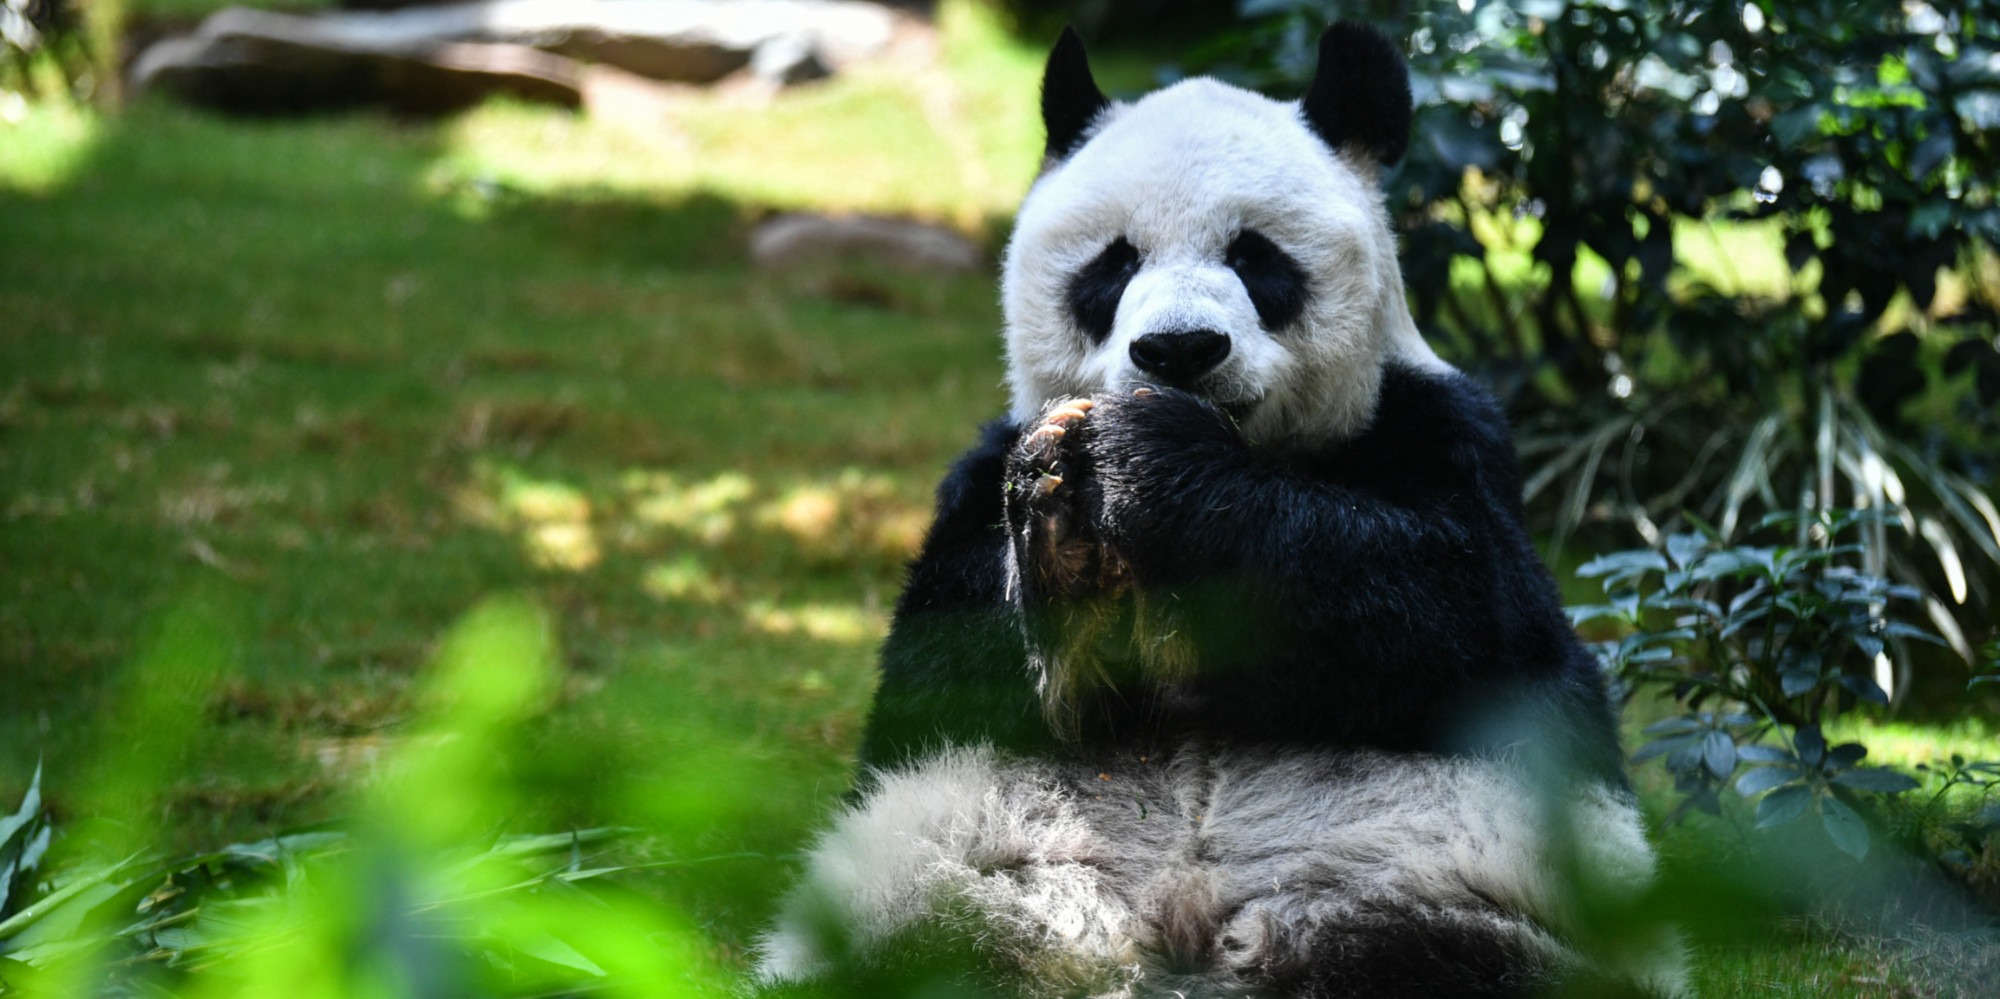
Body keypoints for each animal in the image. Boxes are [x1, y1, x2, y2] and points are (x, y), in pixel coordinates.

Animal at [755, 23, 1689, 999]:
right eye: (1114, 263)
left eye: (1256, 257)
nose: (1179, 350)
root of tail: (1179, 940)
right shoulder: (975, 483)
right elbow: (949, 655)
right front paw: (1062, 534)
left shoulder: (1446, 434)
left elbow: (1456, 603)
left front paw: (1152, 463)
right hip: (955, 885)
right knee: (911, 952)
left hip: (1447, 891)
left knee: (1455, 961)